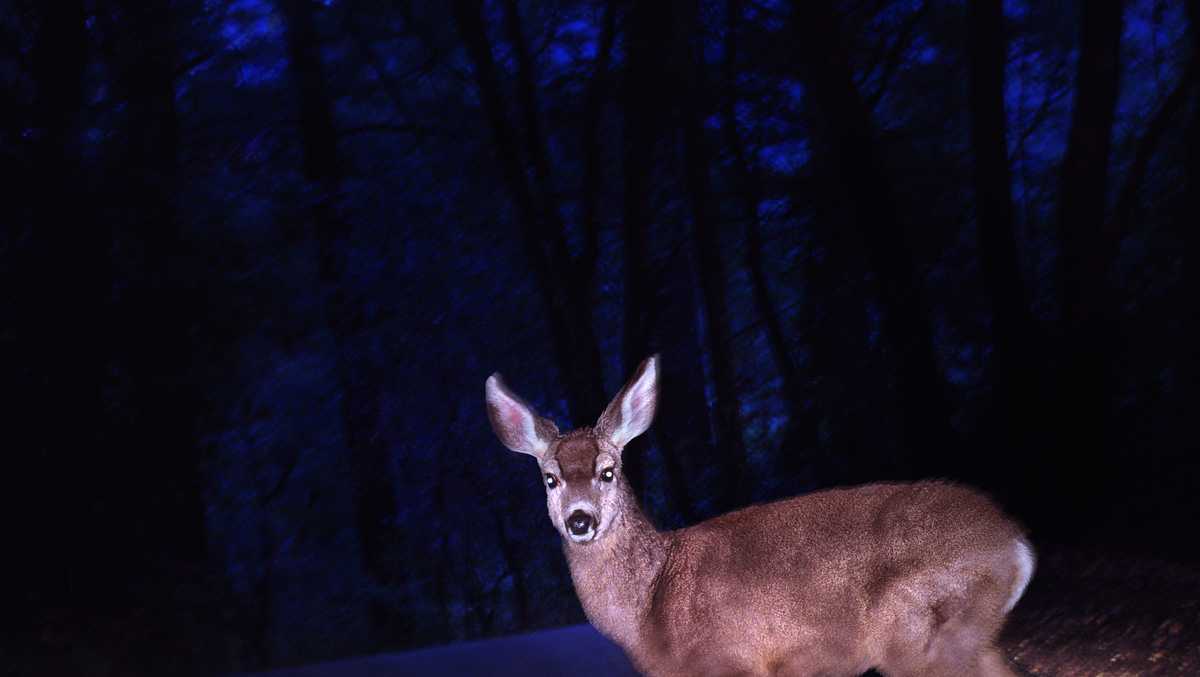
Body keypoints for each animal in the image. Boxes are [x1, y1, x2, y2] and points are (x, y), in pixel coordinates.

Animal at [484, 355, 1034, 677]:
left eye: (607, 471)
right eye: (550, 479)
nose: (580, 520)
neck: (650, 606)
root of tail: (1016, 544)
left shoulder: (730, 662)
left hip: (920, 634)